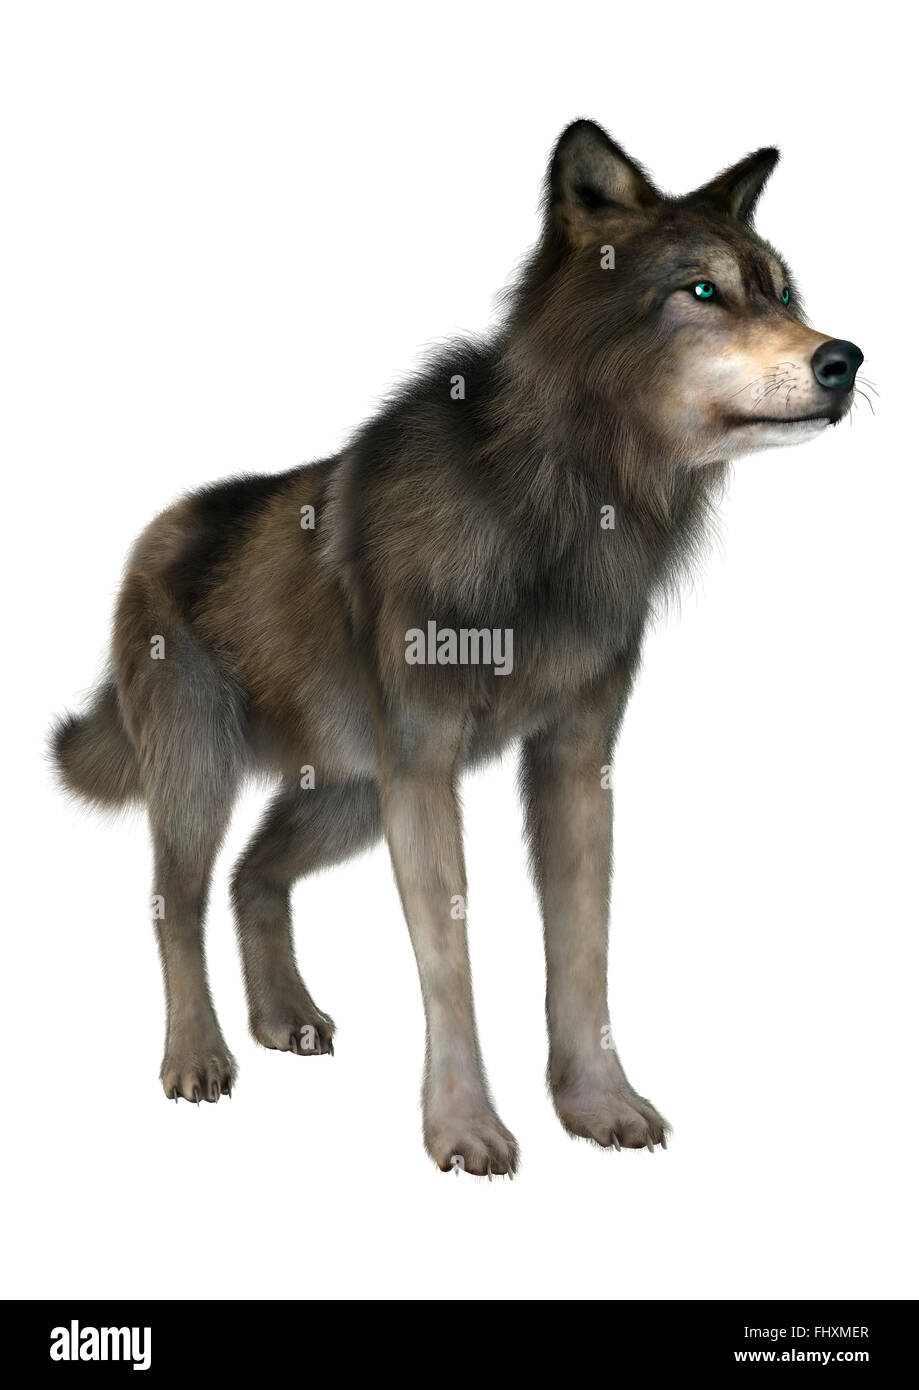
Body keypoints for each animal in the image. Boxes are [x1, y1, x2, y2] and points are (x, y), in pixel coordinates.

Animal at [52, 121, 863, 1176]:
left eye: (783, 293)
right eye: (701, 292)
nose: (846, 359)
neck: (555, 506)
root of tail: (153, 536)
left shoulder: (571, 761)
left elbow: (583, 953)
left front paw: (597, 1106)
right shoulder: (426, 767)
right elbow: (452, 964)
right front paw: (465, 1130)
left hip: (349, 797)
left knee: (252, 875)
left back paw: (284, 1017)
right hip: (212, 783)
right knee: (174, 904)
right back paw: (197, 1055)